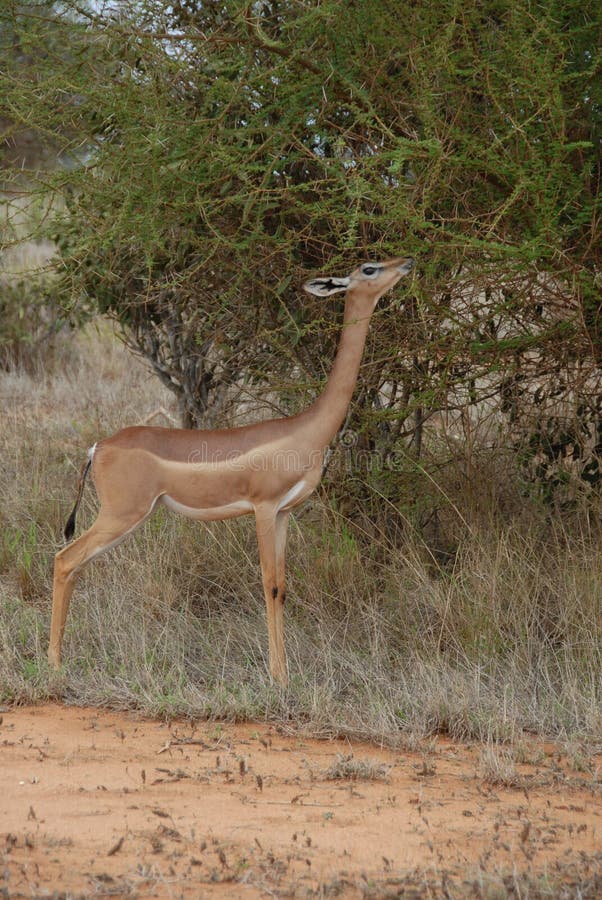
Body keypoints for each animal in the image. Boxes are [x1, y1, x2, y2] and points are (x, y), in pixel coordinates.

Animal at [49, 255, 415, 685]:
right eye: (370, 268)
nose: (406, 263)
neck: (306, 429)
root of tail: (99, 446)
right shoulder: (263, 507)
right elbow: (269, 584)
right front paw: (279, 678)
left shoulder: (285, 513)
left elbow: (283, 586)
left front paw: (284, 671)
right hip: (122, 514)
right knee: (65, 560)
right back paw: (53, 664)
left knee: (74, 565)